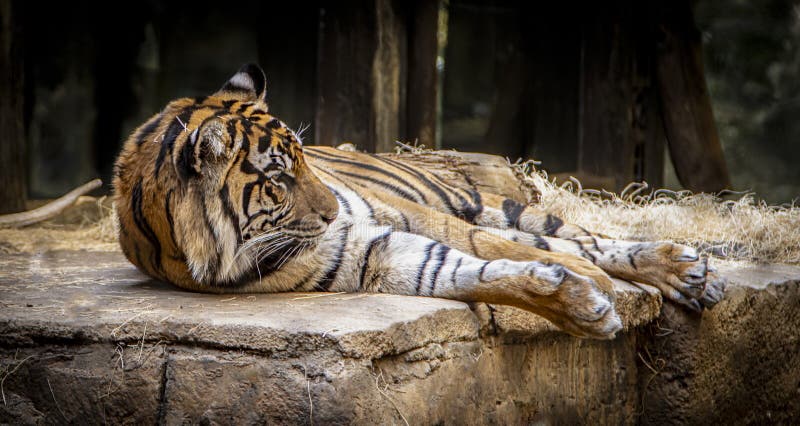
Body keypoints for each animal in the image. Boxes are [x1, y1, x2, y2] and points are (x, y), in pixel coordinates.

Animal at [113, 64, 725, 339]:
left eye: (304, 159)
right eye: (278, 177)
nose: (333, 211)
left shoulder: (401, 216)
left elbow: (483, 245)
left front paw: (589, 281)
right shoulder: (369, 255)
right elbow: (464, 270)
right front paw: (580, 304)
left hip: (487, 202)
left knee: (578, 237)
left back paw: (686, 270)